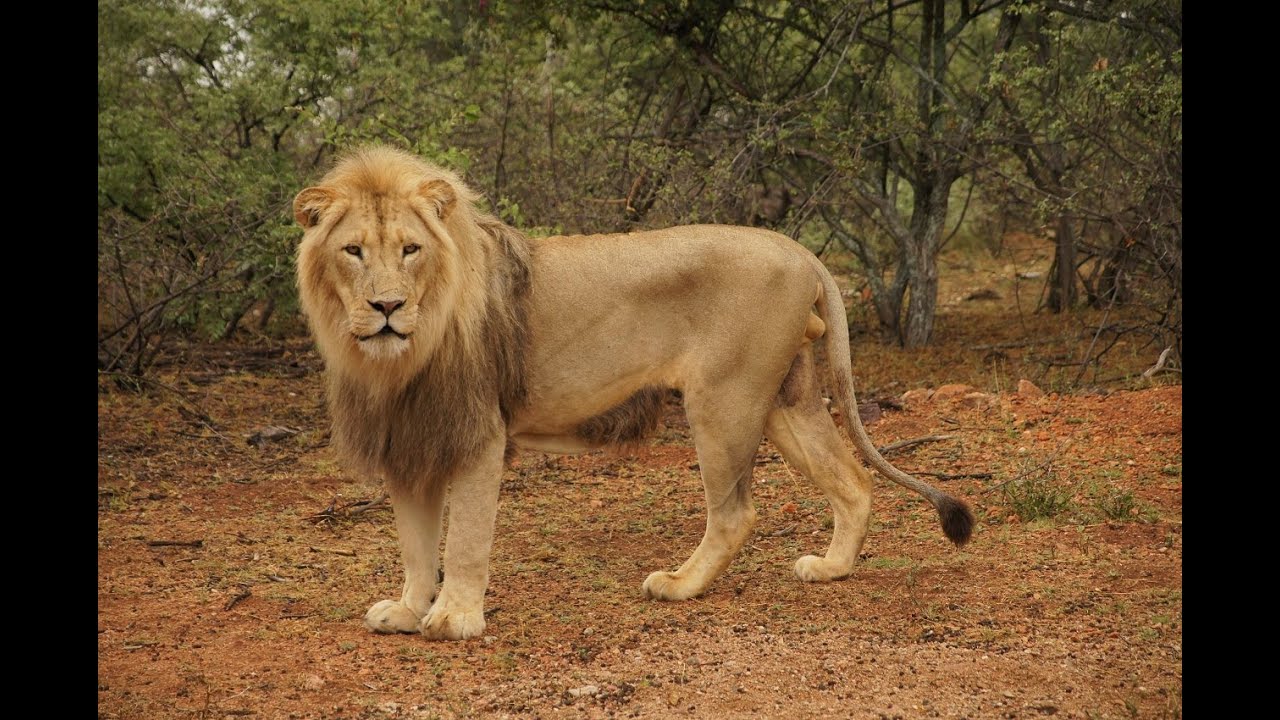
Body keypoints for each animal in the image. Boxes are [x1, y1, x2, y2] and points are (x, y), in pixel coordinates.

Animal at [293, 146, 973, 641]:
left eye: (411, 249)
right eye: (353, 251)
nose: (387, 307)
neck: (397, 361)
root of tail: (797, 247)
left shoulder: (477, 434)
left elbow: (462, 539)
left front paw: (454, 618)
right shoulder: (407, 441)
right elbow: (414, 542)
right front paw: (409, 611)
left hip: (723, 401)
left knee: (735, 512)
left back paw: (679, 584)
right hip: (787, 399)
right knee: (853, 482)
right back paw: (832, 568)